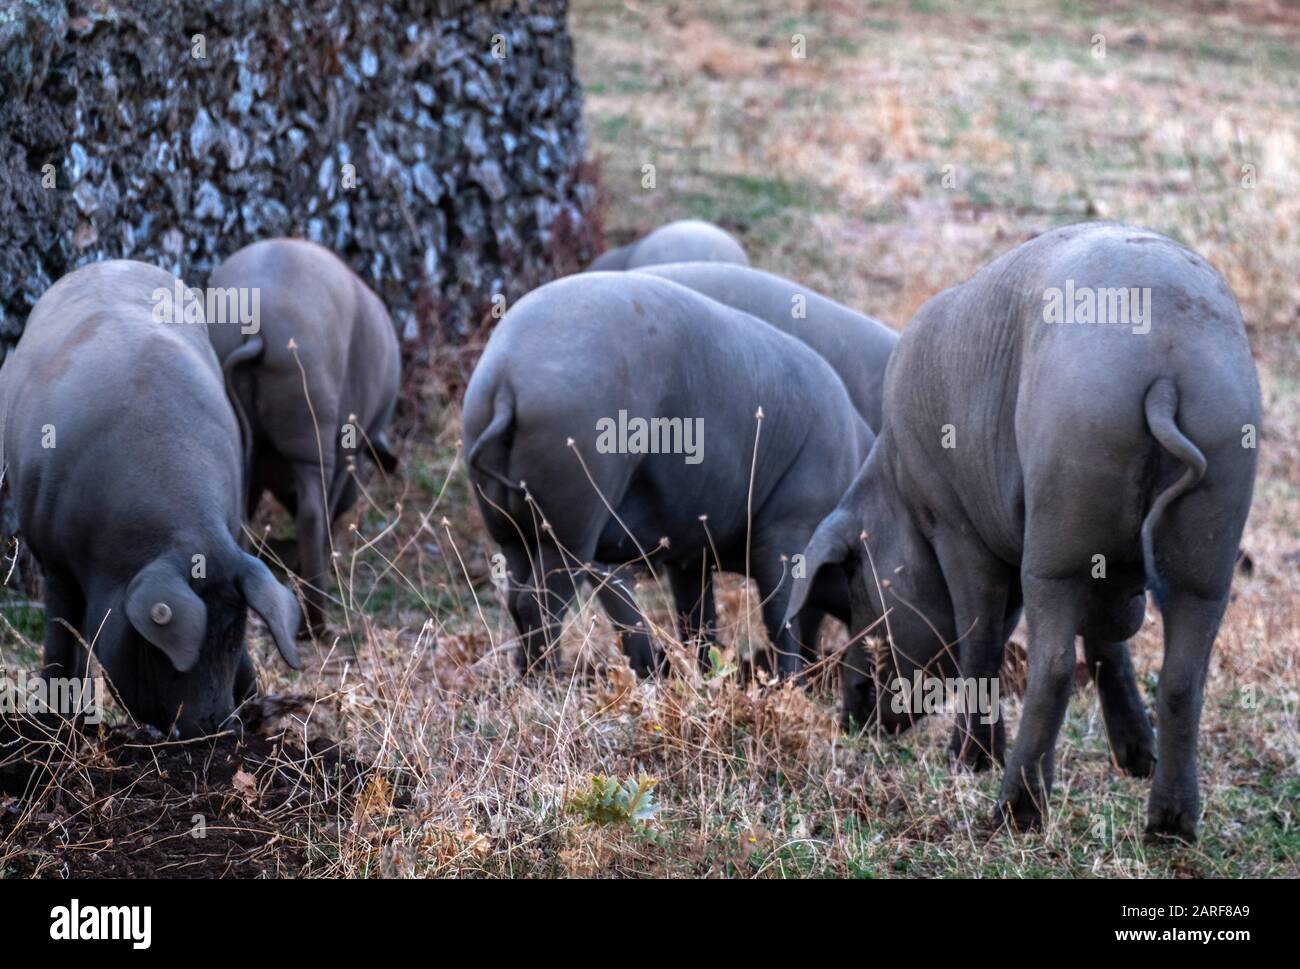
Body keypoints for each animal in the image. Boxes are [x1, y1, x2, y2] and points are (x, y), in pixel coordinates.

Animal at [0, 261, 301, 738]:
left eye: (235, 635)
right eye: (159, 652)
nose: (218, 726)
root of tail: (105, 263)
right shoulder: (55, 559)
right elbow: (62, 633)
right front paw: (57, 723)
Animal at [462, 272, 872, 677]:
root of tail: (505, 379)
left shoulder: (690, 554)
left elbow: (698, 617)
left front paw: (707, 671)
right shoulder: (788, 531)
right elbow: (781, 614)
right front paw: (788, 681)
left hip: (509, 527)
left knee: (516, 596)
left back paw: (529, 676)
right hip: (570, 527)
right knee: (539, 602)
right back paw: (551, 679)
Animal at [784, 223, 1260, 841]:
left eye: (861, 589)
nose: (849, 718)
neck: (900, 493)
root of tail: (1165, 370)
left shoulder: (957, 529)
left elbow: (979, 638)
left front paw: (966, 762)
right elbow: (1104, 643)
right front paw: (1133, 760)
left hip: (1063, 518)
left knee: (1052, 667)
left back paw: (1015, 810)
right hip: (1211, 512)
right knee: (1182, 674)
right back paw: (1170, 827)